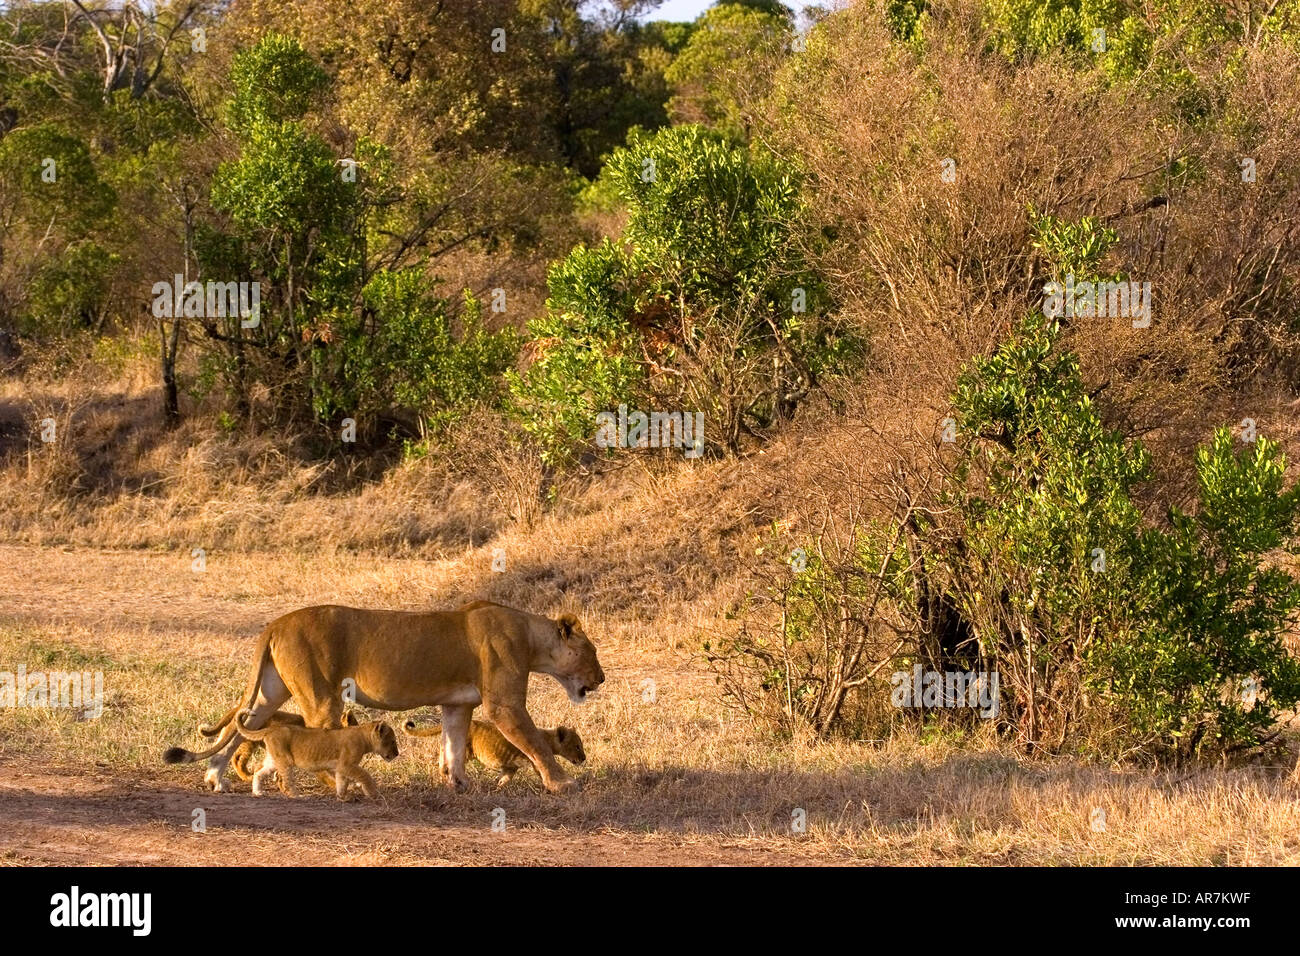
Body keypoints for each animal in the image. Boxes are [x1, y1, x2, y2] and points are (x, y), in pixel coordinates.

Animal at [234, 711, 399, 800]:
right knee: (286, 781)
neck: (364, 737)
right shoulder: (347, 765)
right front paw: (373, 793)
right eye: (392, 741)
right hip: (285, 760)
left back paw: (257, 792)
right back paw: (297, 796)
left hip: (273, 760)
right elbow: (365, 775)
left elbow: (341, 782)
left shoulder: (341, 767)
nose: (397, 754)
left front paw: (342, 797)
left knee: (258, 771)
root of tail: (272, 729)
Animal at [403, 718, 586, 788]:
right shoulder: (536, 760)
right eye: (577, 746)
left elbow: (505, 778)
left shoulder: (511, 766)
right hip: (466, 750)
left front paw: (496, 787)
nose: (584, 758)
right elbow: (545, 772)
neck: (548, 738)